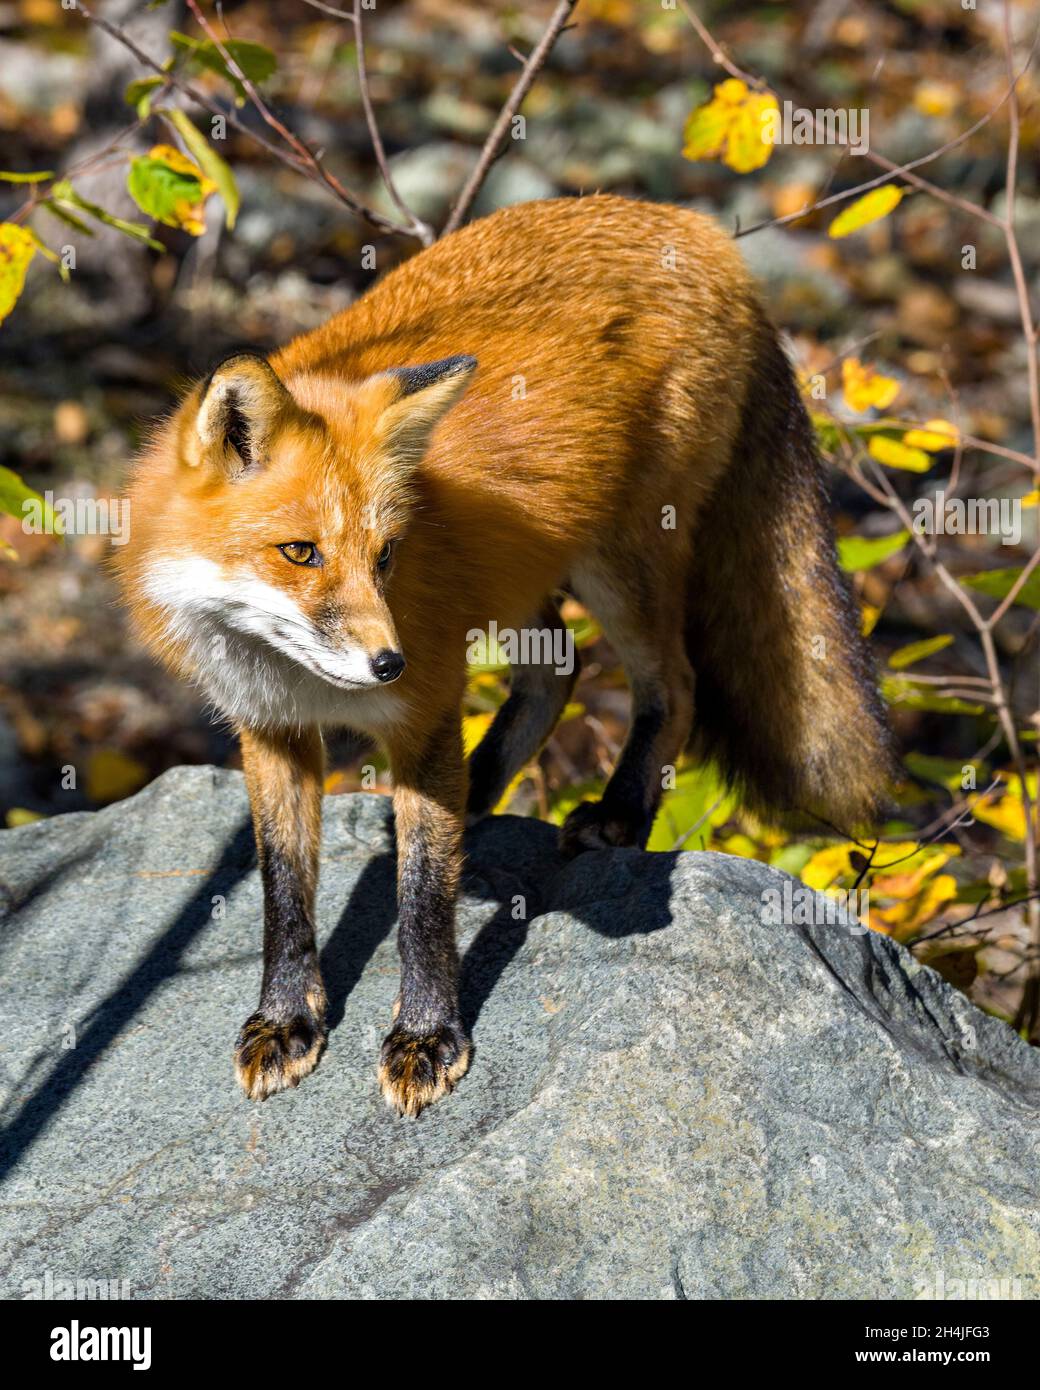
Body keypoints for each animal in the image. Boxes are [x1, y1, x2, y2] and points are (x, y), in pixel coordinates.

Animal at [114, 194, 894, 1117]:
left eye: (385, 556)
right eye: (300, 553)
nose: (389, 665)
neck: (283, 669)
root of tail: (689, 224)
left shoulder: (422, 712)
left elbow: (424, 904)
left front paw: (427, 1037)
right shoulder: (271, 733)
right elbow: (285, 892)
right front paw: (287, 1020)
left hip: (620, 562)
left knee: (675, 683)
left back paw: (617, 814)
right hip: (534, 571)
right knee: (558, 673)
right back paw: (478, 791)